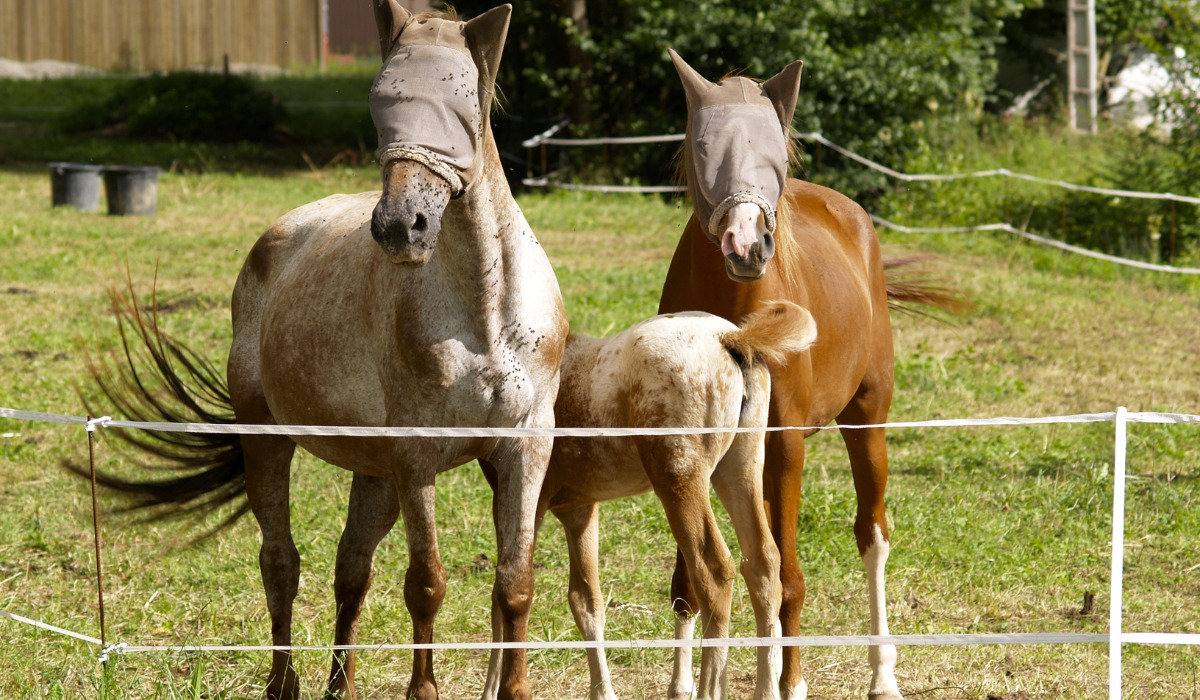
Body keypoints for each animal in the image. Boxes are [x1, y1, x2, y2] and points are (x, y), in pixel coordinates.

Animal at [72, 4, 568, 700]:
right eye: (381, 102)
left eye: (462, 103)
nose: (401, 225)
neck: (486, 310)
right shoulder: (417, 456)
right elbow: (427, 583)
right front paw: (423, 691)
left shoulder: (523, 448)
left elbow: (514, 583)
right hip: (269, 442)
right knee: (280, 560)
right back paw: (285, 683)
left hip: (375, 473)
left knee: (351, 567)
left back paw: (341, 687)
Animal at [480, 301, 817, 700]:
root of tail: (730, 337)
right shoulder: (579, 509)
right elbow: (586, 601)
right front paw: (602, 693)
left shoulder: (521, 499)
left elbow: (504, 593)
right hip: (740, 468)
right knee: (763, 563)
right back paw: (766, 690)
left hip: (679, 478)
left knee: (714, 571)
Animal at [656, 50, 966, 700]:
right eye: (703, 146)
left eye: (775, 148)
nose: (746, 242)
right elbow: (691, 580)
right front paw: (684, 683)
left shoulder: (785, 447)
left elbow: (789, 579)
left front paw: (787, 682)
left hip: (867, 421)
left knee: (872, 535)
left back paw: (881, 674)